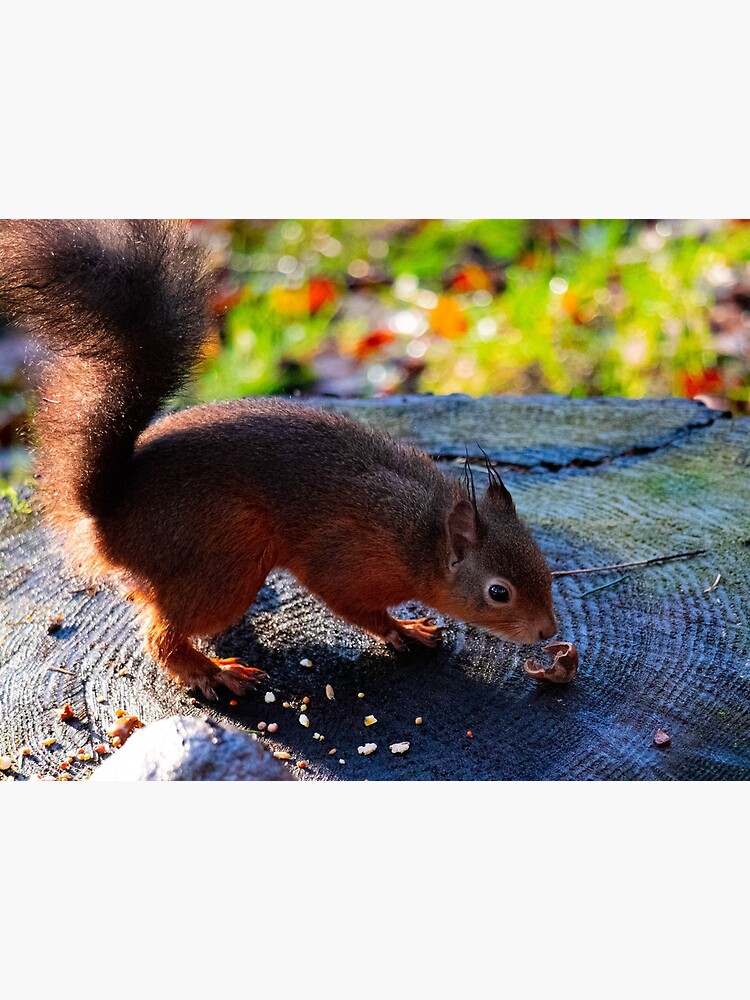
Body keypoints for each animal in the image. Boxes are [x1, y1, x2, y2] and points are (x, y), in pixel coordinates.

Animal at [0, 219, 557, 699]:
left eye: (542, 563)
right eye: (499, 592)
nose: (548, 632)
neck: (421, 535)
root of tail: (105, 517)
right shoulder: (346, 559)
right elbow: (353, 605)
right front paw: (403, 628)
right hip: (228, 549)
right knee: (162, 636)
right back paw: (211, 672)